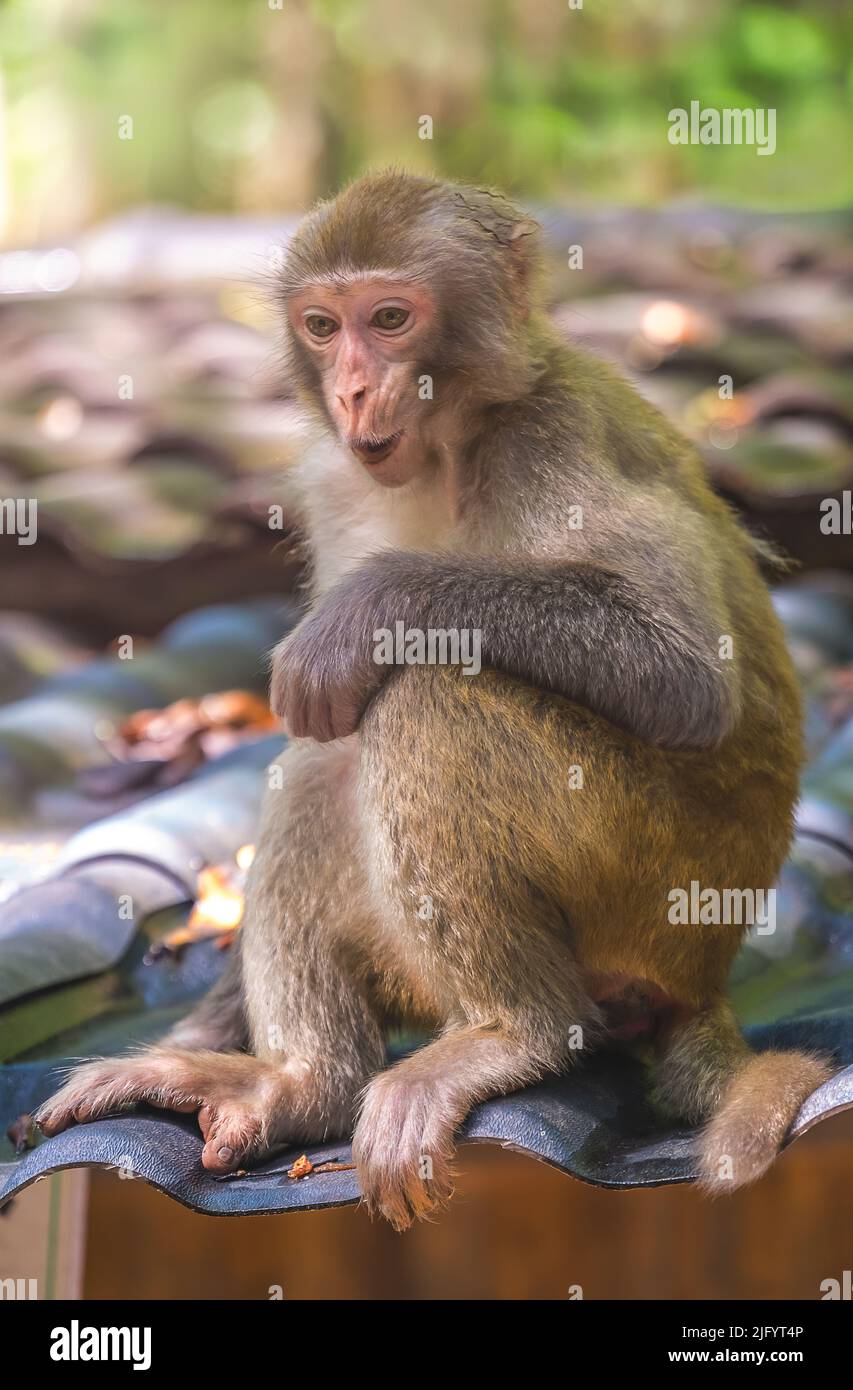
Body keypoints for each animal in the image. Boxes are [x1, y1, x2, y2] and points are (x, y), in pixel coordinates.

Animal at [36, 170, 833, 1230]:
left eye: (390, 318)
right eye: (323, 325)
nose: (352, 388)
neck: (452, 447)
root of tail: (706, 973)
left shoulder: (552, 436)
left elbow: (686, 678)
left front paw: (369, 607)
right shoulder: (333, 479)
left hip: (654, 885)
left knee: (418, 699)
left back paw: (513, 1033)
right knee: (323, 760)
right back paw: (301, 1086)